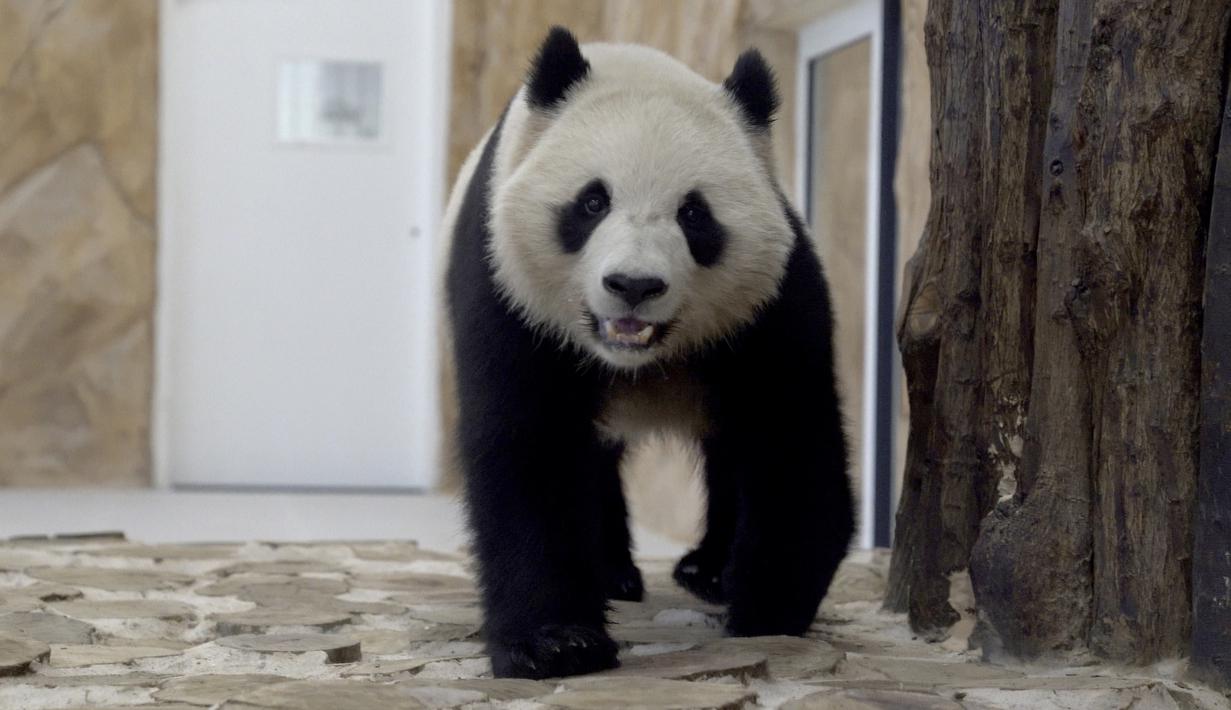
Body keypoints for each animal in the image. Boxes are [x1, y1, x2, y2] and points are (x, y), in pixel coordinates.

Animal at [443, 26, 853, 679]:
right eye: (591, 203)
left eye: (694, 214)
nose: (634, 285)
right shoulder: (507, 289)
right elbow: (529, 448)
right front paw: (555, 643)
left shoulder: (771, 306)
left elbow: (792, 442)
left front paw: (765, 610)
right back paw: (615, 574)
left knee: (727, 449)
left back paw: (705, 570)